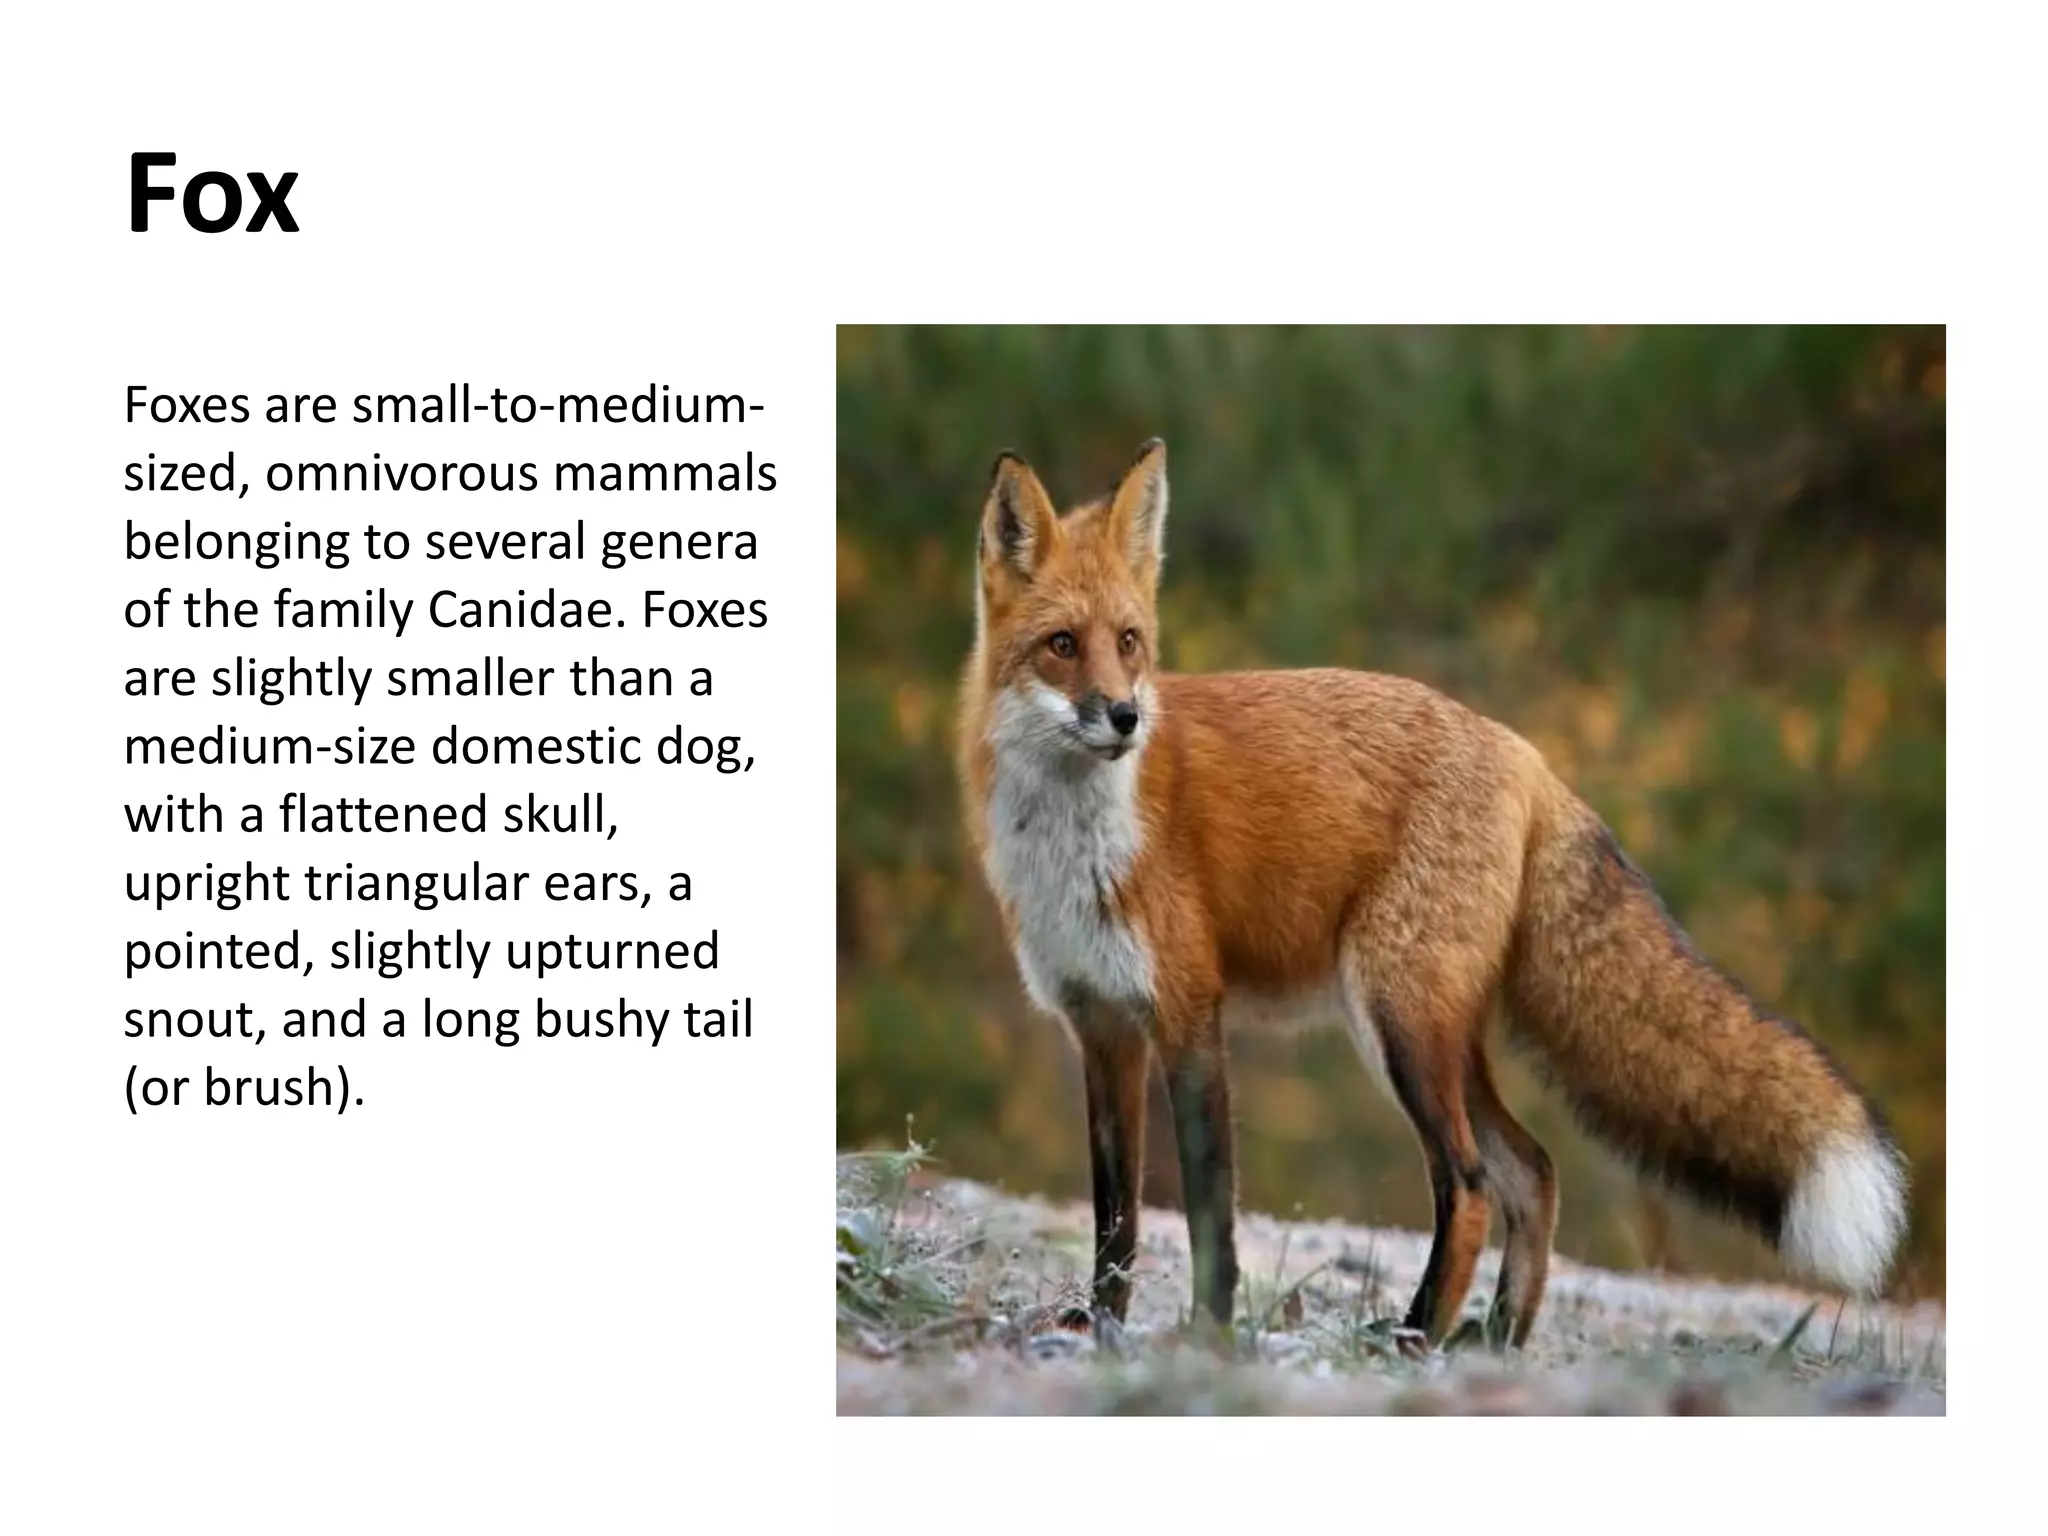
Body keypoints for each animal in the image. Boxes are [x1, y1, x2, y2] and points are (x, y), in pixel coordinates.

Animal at [956, 436, 1908, 1348]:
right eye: (1062, 645)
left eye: (1130, 642)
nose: (1125, 717)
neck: (1075, 846)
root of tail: (1528, 756)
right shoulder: (1102, 1025)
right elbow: (1114, 1218)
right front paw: (1103, 1325)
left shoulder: (1189, 1012)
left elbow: (1207, 1210)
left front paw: (1208, 1332)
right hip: (1432, 1037)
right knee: (1535, 1169)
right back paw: (1496, 1338)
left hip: (1401, 1025)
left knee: (1474, 1181)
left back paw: (1415, 1335)